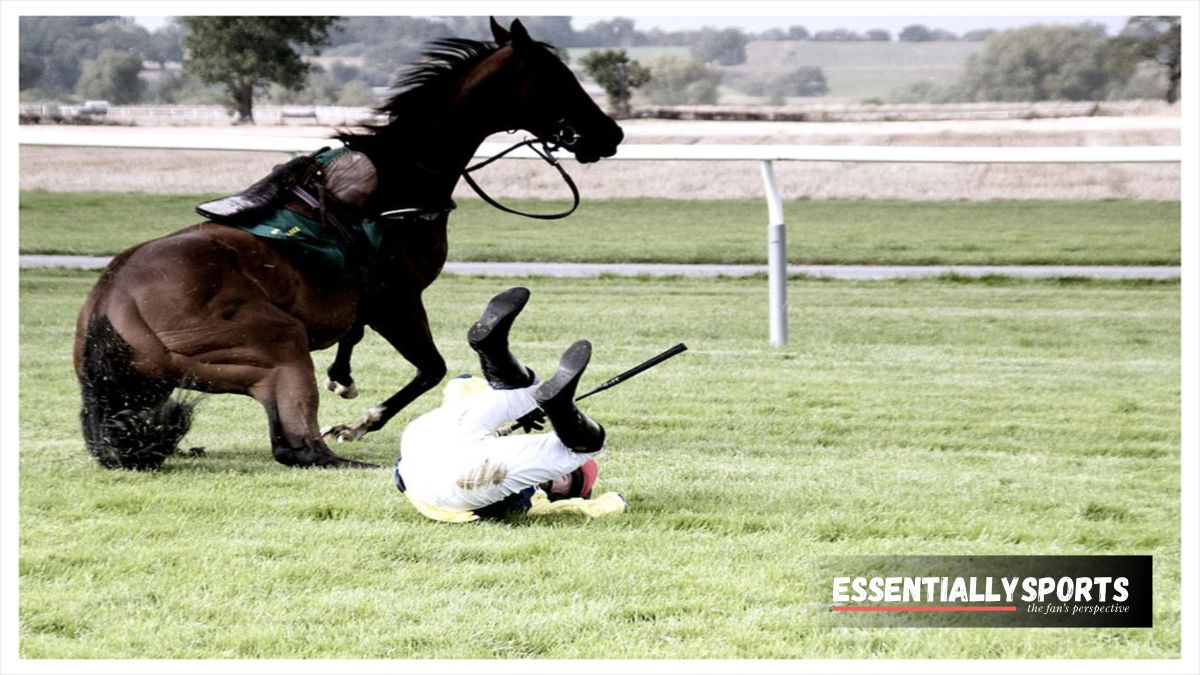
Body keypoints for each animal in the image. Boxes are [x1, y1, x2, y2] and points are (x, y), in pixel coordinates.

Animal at [73, 18, 624, 470]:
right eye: (561, 78)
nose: (612, 133)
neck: (399, 183)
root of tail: (108, 309)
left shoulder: (372, 303)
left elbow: (359, 336)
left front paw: (344, 377)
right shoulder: (397, 299)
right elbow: (430, 368)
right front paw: (360, 420)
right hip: (280, 346)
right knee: (298, 448)